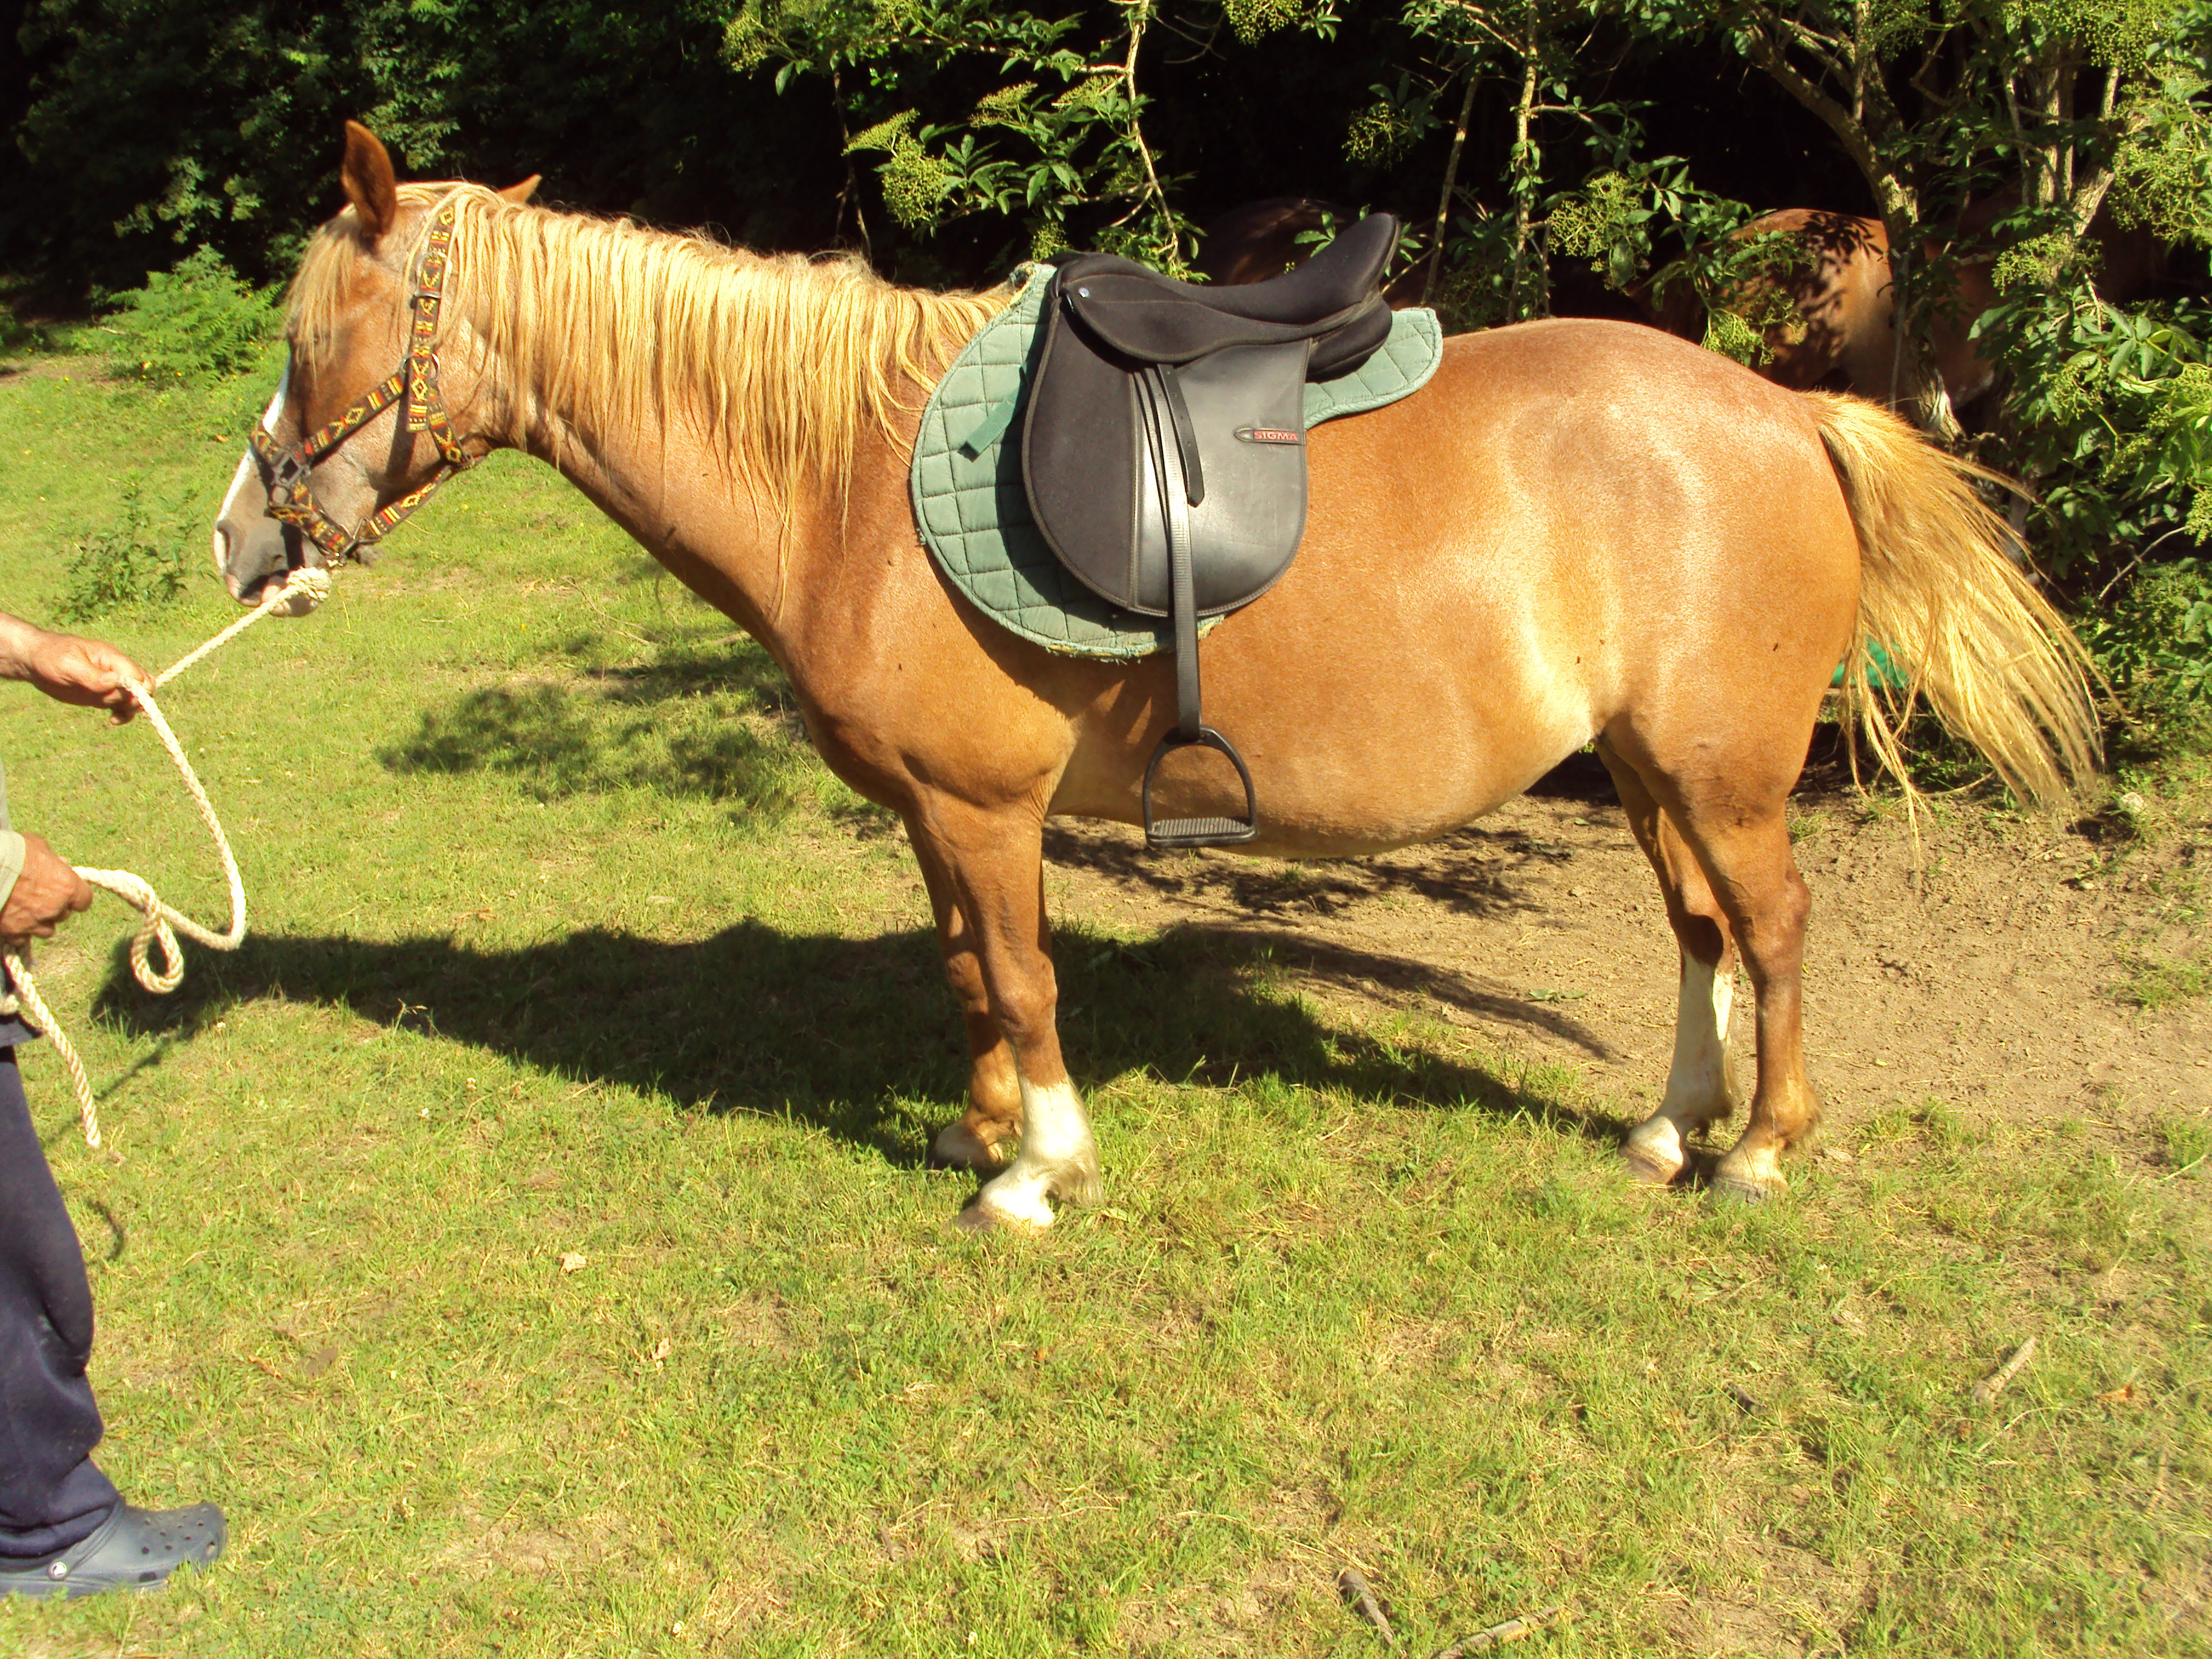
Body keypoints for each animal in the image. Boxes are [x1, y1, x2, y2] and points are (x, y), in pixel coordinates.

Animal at [213, 123, 2098, 1227]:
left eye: (311, 337)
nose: (242, 537)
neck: (845, 478)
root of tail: (1789, 409)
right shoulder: (936, 813)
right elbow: (969, 973)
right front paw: (982, 1134)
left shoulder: (985, 806)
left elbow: (1027, 981)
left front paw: (1039, 1165)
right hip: (1645, 772)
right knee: (1700, 933)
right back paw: (1669, 1130)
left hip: (1720, 771)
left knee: (1769, 931)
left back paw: (1761, 1150)